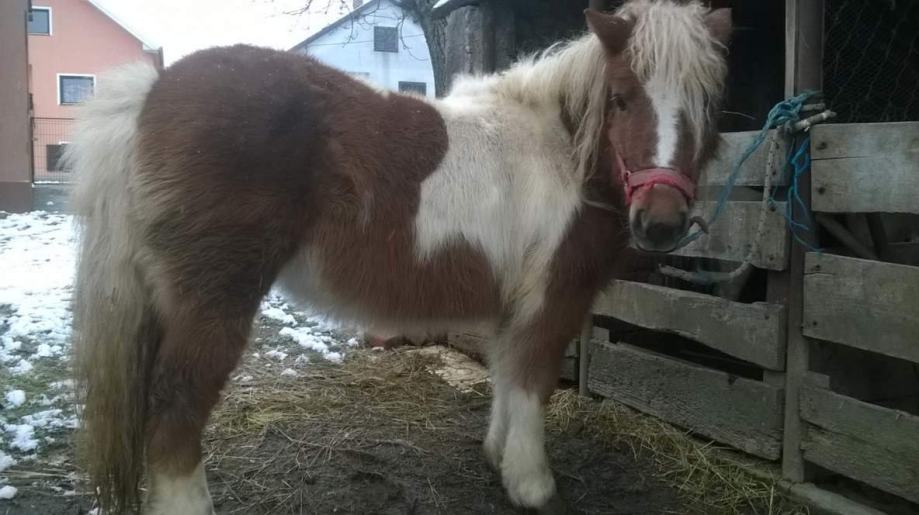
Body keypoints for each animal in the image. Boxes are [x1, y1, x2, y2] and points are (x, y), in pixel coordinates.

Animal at [68, 1, 731, 512]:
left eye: (708, 103)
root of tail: (154, 91)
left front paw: (497, 458)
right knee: (176, 410)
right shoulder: (550, 303)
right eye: (620, 99)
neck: (561, 149)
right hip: (215, 302)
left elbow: (504, 378)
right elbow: (531, 385)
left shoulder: (511, 307)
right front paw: (532, 485)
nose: (662, 222)